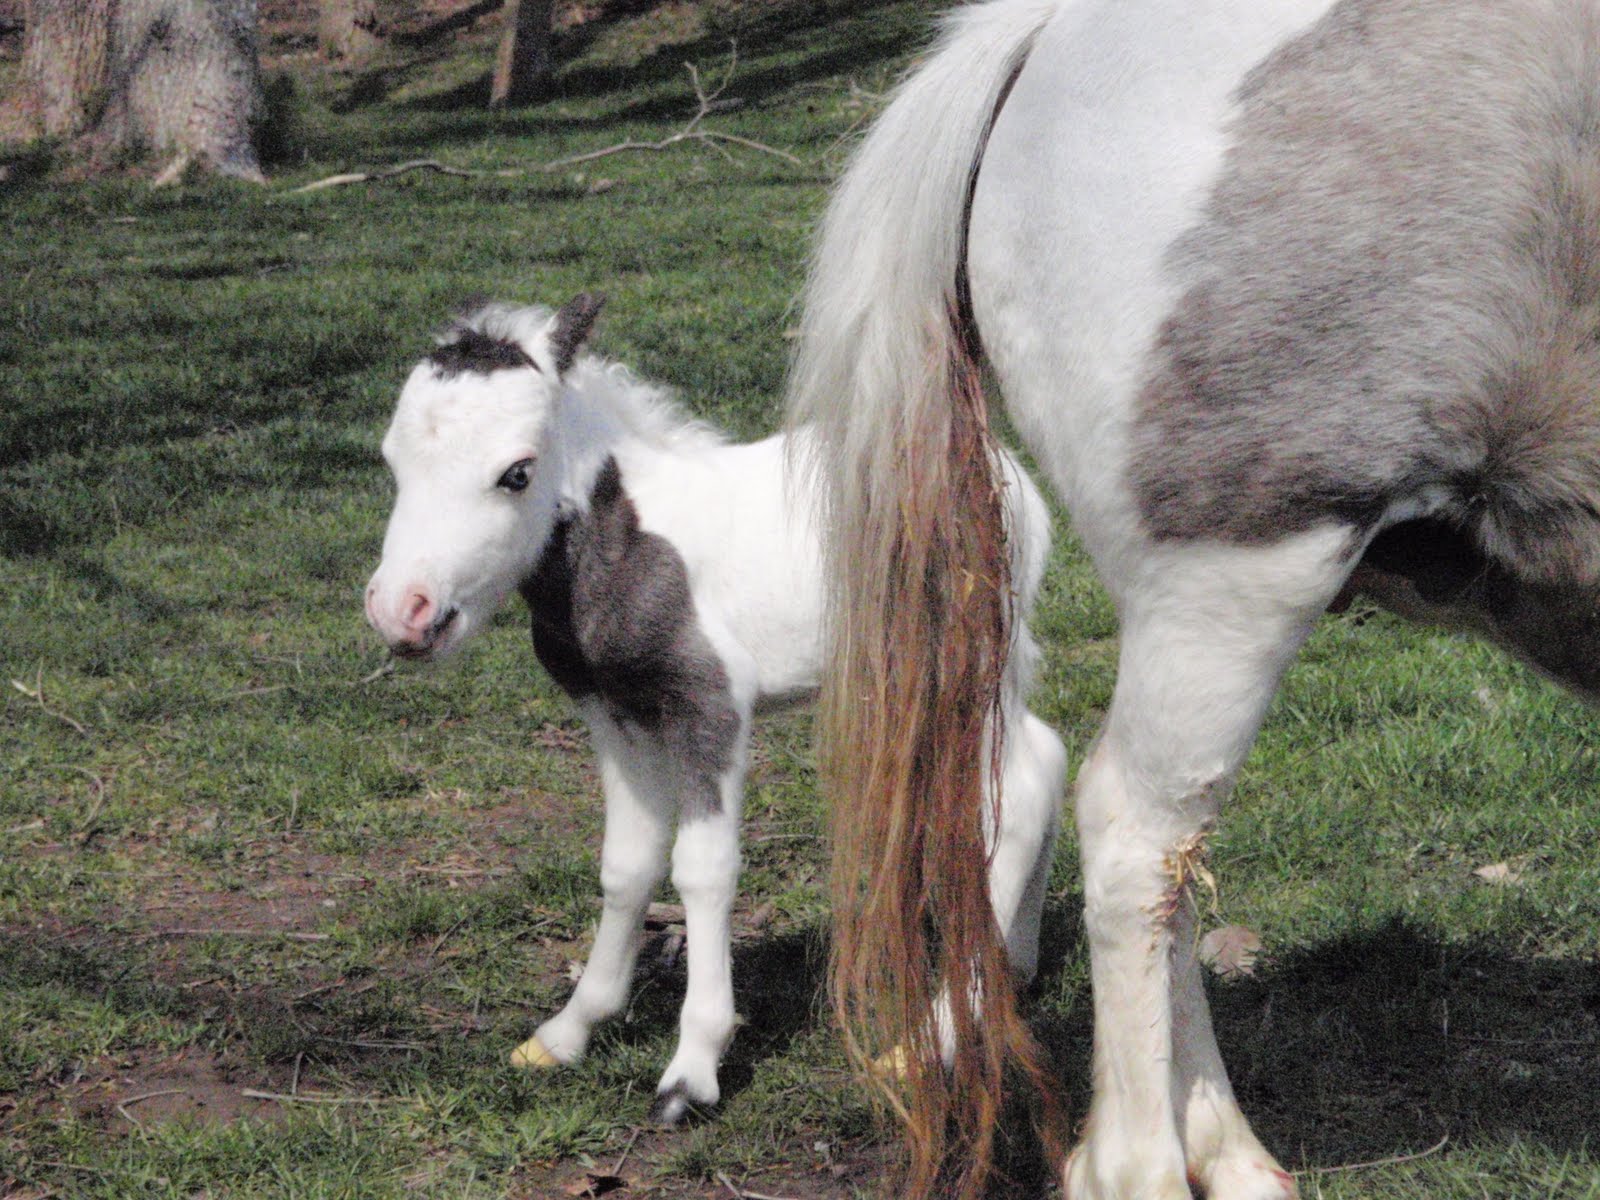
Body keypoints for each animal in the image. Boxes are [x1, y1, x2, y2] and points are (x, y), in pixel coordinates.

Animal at [363, 297, 1067, 1125]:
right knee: (1046, 758)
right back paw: (1015, 970)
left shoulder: (710, 704)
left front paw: (692, 1067)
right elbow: (626, 863)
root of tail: (1008, 475)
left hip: (965, 668)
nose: (401, 613)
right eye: (392, 462)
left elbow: (701, 869)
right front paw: (570, 1030)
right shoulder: (613, 714)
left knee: (1019, 789)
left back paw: (940, 1038)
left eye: (516, 473)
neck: (630, 544)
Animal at [787, 1, 1600, 1197]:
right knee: (1137, 838)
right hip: (1237, 571)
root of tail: (1043, 32)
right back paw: (1141, 1164)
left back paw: (1221, 1146)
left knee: (1163, 856)